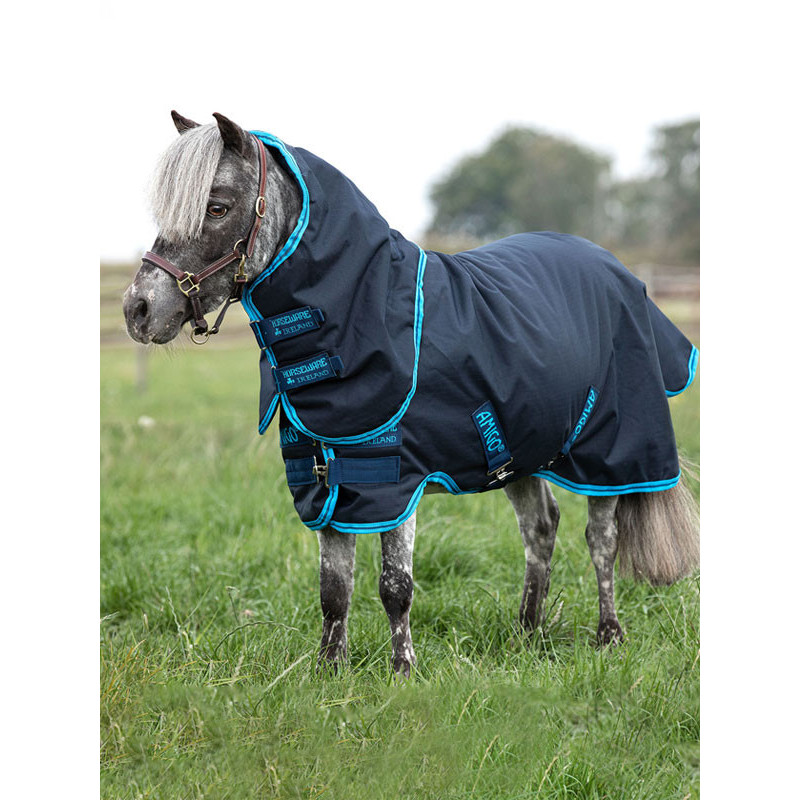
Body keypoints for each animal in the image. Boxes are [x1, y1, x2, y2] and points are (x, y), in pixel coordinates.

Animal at [123, 111, 699, 677]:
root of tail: (617, 269)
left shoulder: (394, 480)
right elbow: (334, 588)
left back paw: (608, 636)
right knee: (540, 529)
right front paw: (329, 672)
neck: (364, 311)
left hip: (612, 453)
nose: (137, 309)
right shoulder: (328, 479)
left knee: (602, 541)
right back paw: (528, 636)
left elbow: (394, 586)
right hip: (522, 450)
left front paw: (403, 672)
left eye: (217, 206)